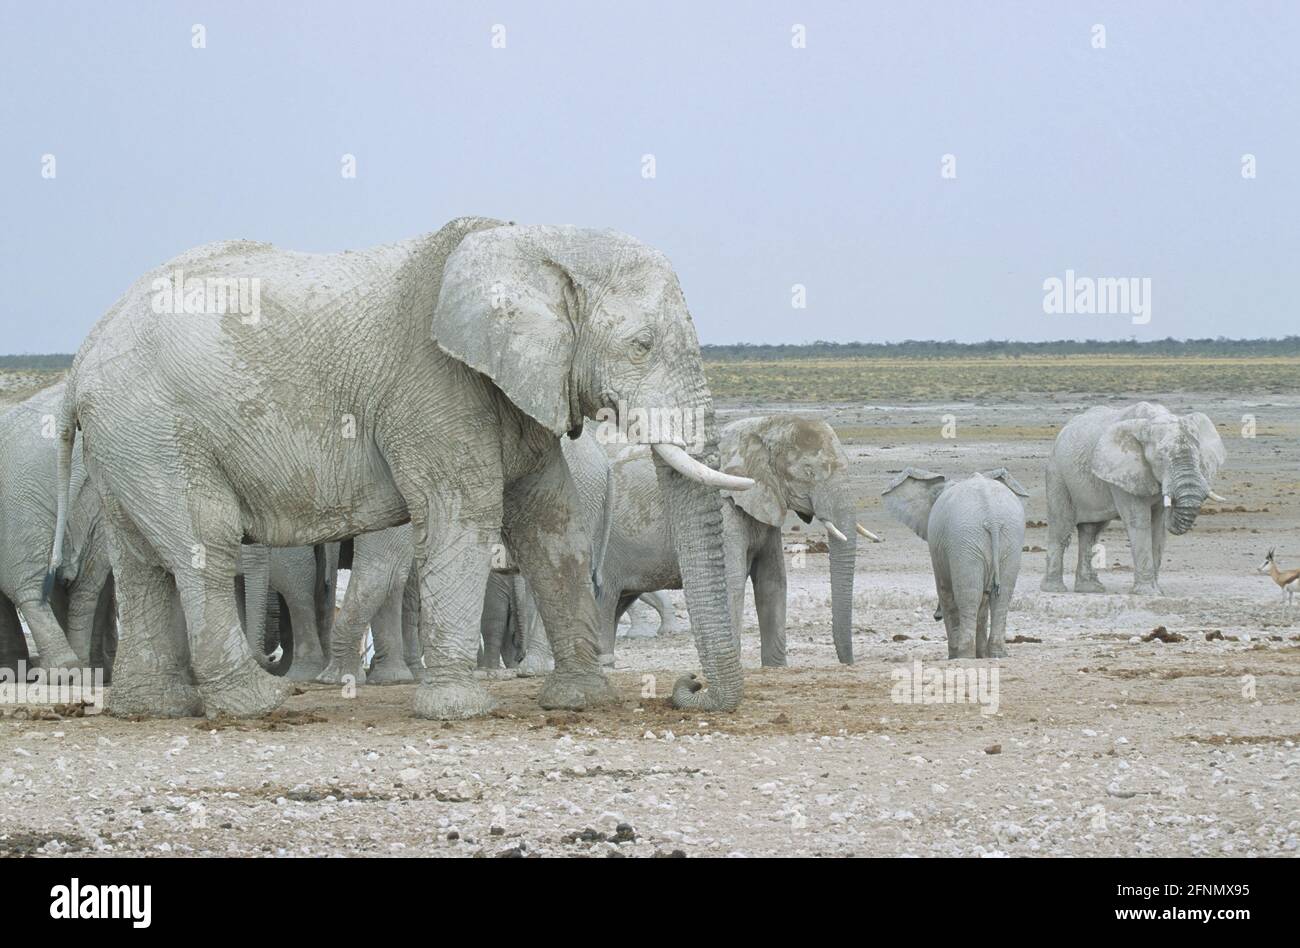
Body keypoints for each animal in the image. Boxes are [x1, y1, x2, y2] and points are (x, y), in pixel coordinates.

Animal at [1, 382, 115, 672]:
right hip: (91, 508)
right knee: (86, 589)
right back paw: (82, 669)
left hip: (24, 504)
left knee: (28, 586)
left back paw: (64, 670)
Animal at [52, 218, 751, 719]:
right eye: (641, 346)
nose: (687, 685)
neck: (533, 240)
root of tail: (82, 353)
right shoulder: (433, 389)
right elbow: (462, 514)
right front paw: (458, 712)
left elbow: (549, 524)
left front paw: (577, 700)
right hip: (157, 429)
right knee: (204, 544)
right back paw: (256, 705)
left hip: (127, 442)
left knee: (138, 558)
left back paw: (154, 709)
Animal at [586, 415, 873, 666]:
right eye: (808, 471)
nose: (848, 663)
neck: (763, 426)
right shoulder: (722, 509)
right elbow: (731, 580)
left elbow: (772, 582)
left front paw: (776, 668)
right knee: (605, 604)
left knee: (617, 605)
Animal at [883, 468, 1028, 659]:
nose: (935, 617)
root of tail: (993, 518)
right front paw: (981, 656)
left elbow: (945, 591)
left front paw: (955, 655)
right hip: (1010, 539)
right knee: (1000, 597)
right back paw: (996, 655)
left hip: (966, 540)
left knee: (967, 596)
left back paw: (963, 655)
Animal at [1040, 402, 1226, 596]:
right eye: (1160, 458)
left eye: (1198, 456)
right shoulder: (1123, 471)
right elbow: (1140, 521)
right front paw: (1147, 593)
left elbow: (1157, 526)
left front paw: (1157, 591)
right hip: (1056, 474)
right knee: (1061, 527)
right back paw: (1055, 589)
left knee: (1091, 531)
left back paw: (1091, 588)